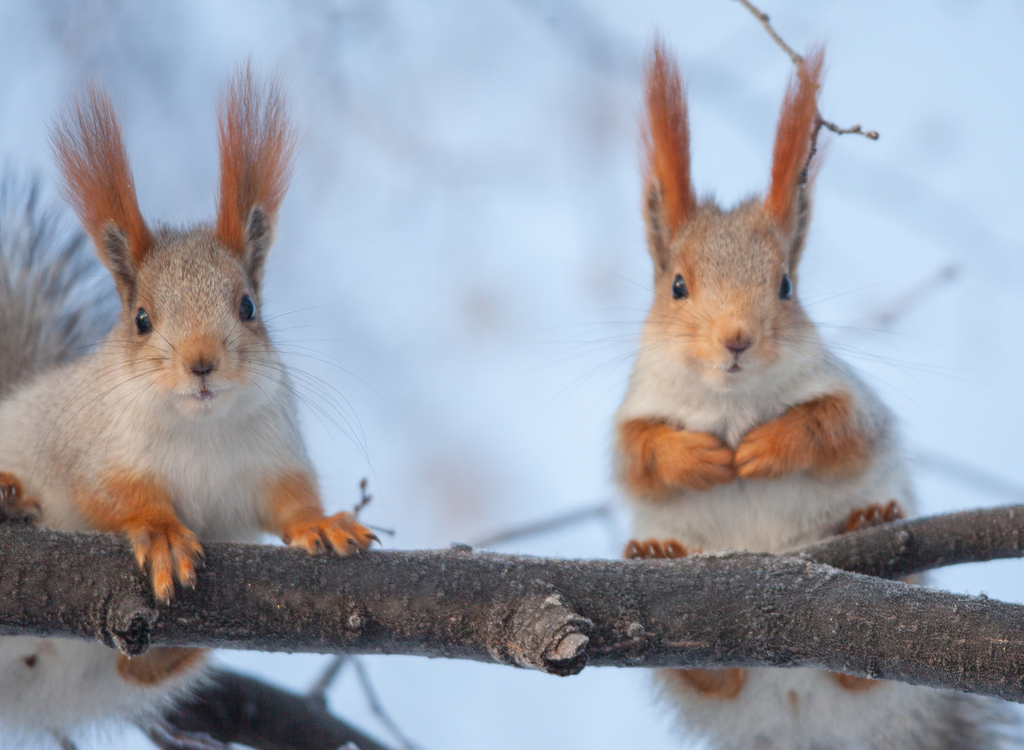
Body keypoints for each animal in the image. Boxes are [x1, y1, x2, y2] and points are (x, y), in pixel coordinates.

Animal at [0, 68, 376, 740]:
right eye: (142, 319)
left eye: (248, 306)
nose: (201, 361)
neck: (201, 430)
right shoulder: (87, 446)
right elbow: (111, 493)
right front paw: (161, 532)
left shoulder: (273, 454)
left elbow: (290, 501)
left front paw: (322, 523)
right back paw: (8, 495)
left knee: (138, 669)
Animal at [615, 41, 1014, 750]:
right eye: (678, 286)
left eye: (786, 286)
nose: (736, 339)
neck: (731, 402)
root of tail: (800, 707)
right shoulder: (634, 408)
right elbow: (638, 452)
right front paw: (699, 458)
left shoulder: (855, 402)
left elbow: (837, 426)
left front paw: (765, 449)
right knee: (712, 679)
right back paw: (657, 555)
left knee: (862, 676)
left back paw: (876, 531)